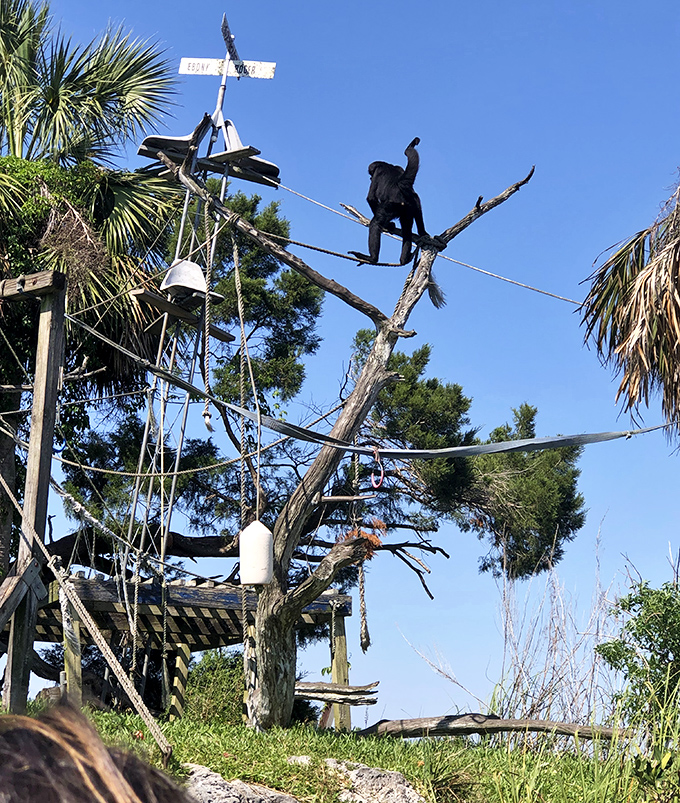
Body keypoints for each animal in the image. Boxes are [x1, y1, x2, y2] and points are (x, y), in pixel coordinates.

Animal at [349, 137, 427, 266]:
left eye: (371, 174)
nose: (370, 177)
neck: (387, 165)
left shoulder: (377, 172)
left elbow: (371, 198)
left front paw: (387, 224)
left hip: (391, 207)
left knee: (375, 223)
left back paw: (372, 258)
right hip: (409, 208)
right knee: (408, 226)